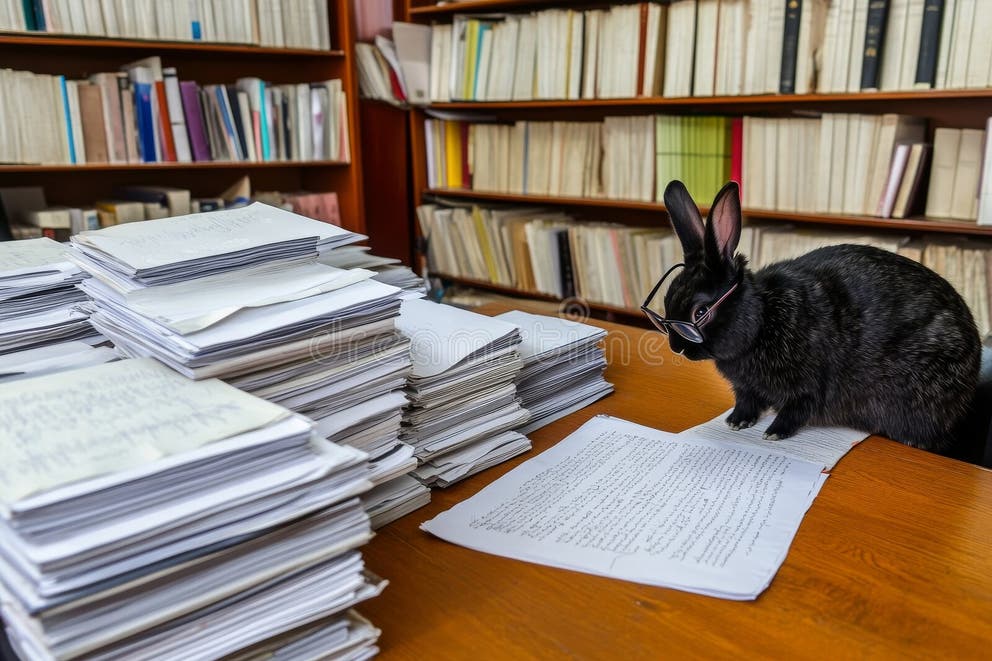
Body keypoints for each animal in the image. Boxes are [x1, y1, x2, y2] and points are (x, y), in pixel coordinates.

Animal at [657, 179, 981, 455]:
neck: (762, 318)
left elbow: (796, 409)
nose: (677, 347)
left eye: (700, 312)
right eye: (667, 302)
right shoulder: (746, 388)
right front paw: (737, 422)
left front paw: (774, 432)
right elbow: (747, 401)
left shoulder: (808, 385)